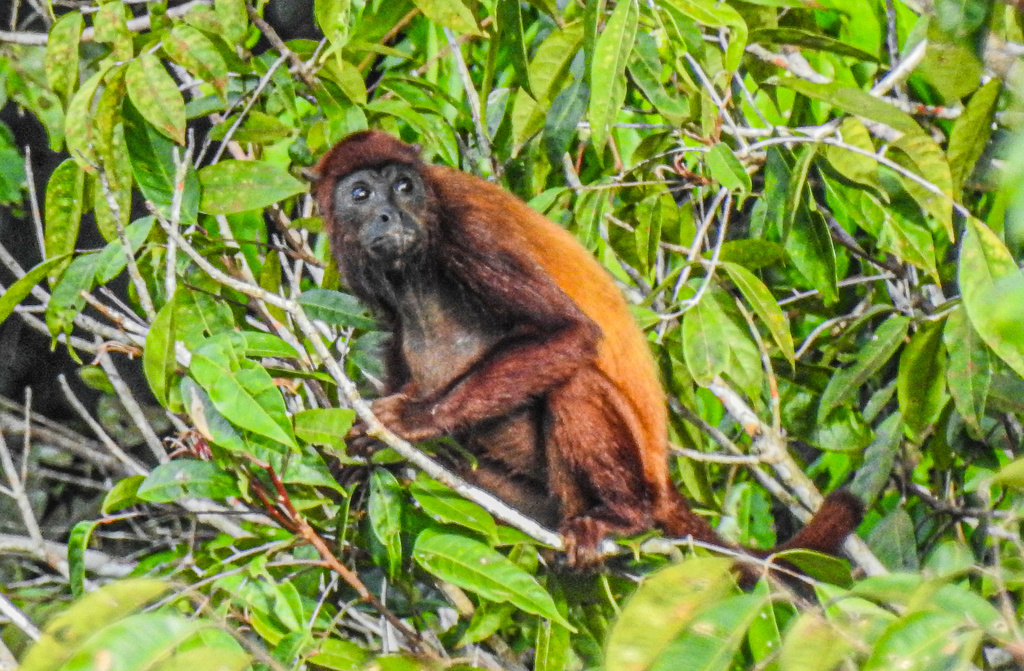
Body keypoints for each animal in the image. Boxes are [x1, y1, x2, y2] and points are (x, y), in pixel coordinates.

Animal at [312, 130, 863, 568]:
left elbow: (569, 333)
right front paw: (365, 449)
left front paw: (415, 420)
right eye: (360, 194)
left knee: (573, 382)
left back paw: (624, 518)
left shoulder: (468, 231)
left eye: (403, 186)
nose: (390, 213)